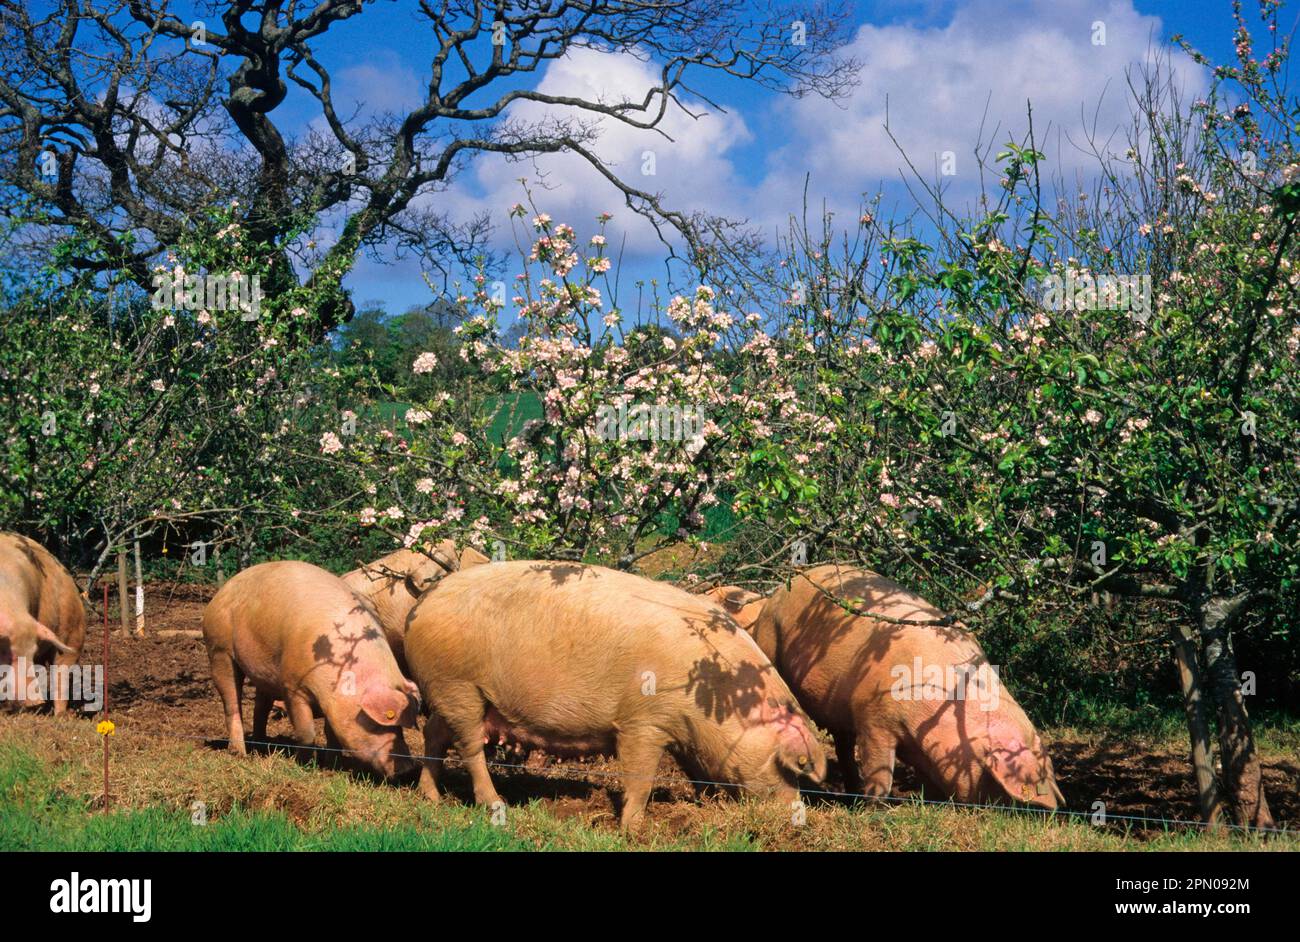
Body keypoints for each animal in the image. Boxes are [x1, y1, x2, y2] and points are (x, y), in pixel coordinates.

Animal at [0, 532, 85, 715]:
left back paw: (59, 716)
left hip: (73, 632)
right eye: (7, 655)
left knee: (61, 674)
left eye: (32, 652)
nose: (36, 701)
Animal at [201, 560, 420, 779]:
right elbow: (306, 732)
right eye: (375, 724)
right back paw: (239, 753)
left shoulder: (333, 703)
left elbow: (332, 734)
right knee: (232, 703)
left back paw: (261, 747)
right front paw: (305, 766)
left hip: (263, 672)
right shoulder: (292, 685)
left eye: (402, 727)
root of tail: (221, 592)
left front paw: (333, 766)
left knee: (260, 707)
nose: (408, 769)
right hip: (218, 649)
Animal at [404, 561, 827, 829]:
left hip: (450, 693)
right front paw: (633, 828)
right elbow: (640, 776)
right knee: (470, 748)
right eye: (791, 767)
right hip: (458, 686)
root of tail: (421, 604)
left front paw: (702, 802)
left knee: (434, 734)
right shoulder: (643, 721)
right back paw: (496, 805)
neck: (713, 700)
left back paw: (432, 798)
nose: (798, 821)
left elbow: (695, 771)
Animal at [707, 565, 1063, 810]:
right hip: (770, 641)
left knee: (842, 745)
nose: (1051, 810)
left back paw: (850, 792)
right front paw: (876, 809)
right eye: (1007, 794)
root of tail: (779, 590)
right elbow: (880, 768)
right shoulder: (875, 718)